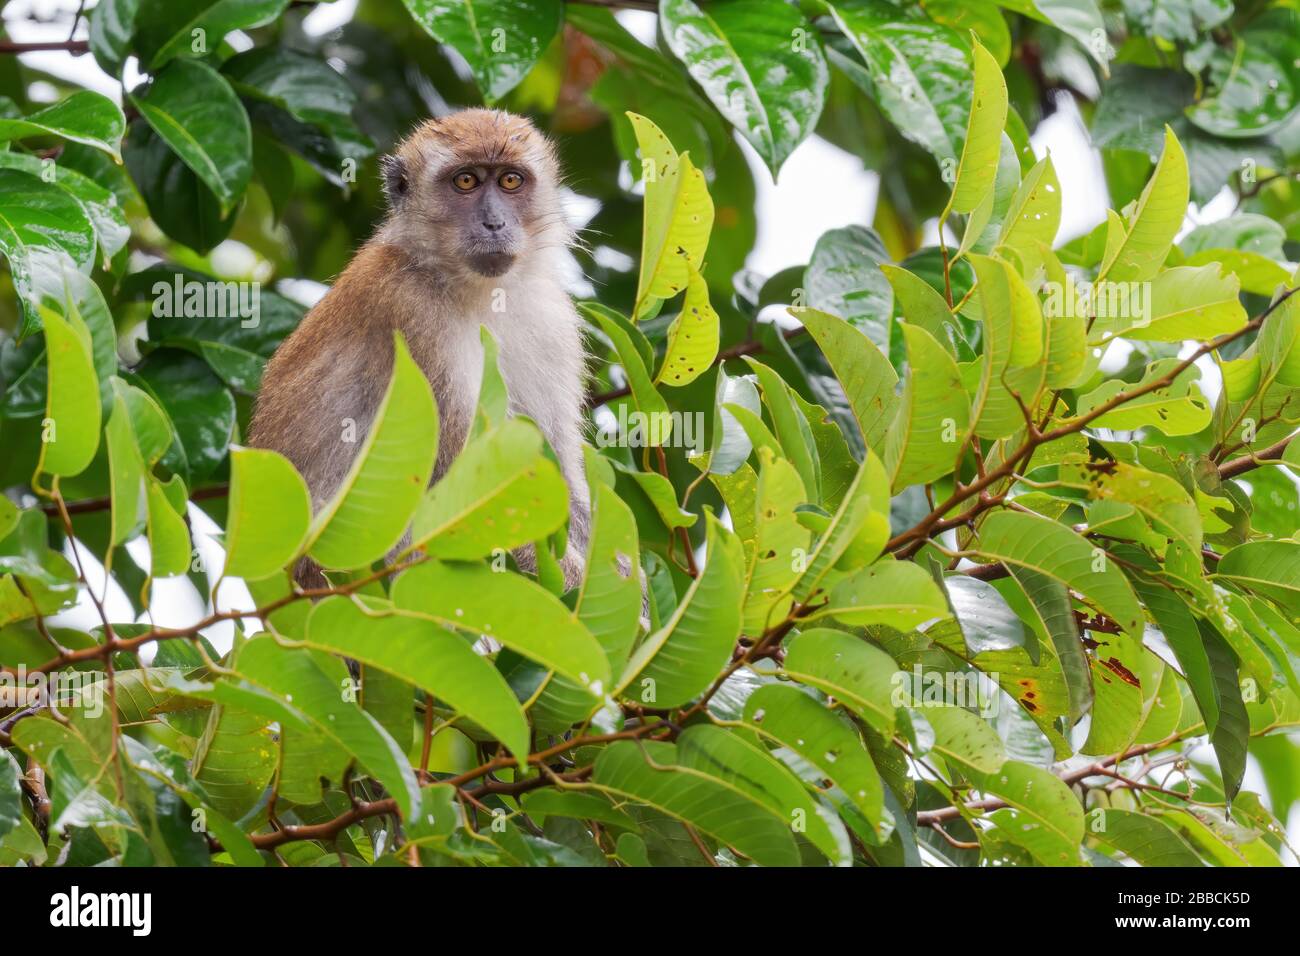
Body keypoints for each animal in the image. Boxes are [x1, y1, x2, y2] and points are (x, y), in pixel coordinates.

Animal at [248, 109, 590, 590]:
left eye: (510, 181)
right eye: (465, 181)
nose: (494, 224)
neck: (476, 290)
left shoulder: (552, 320)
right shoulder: (411, 313)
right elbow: (458, 482)